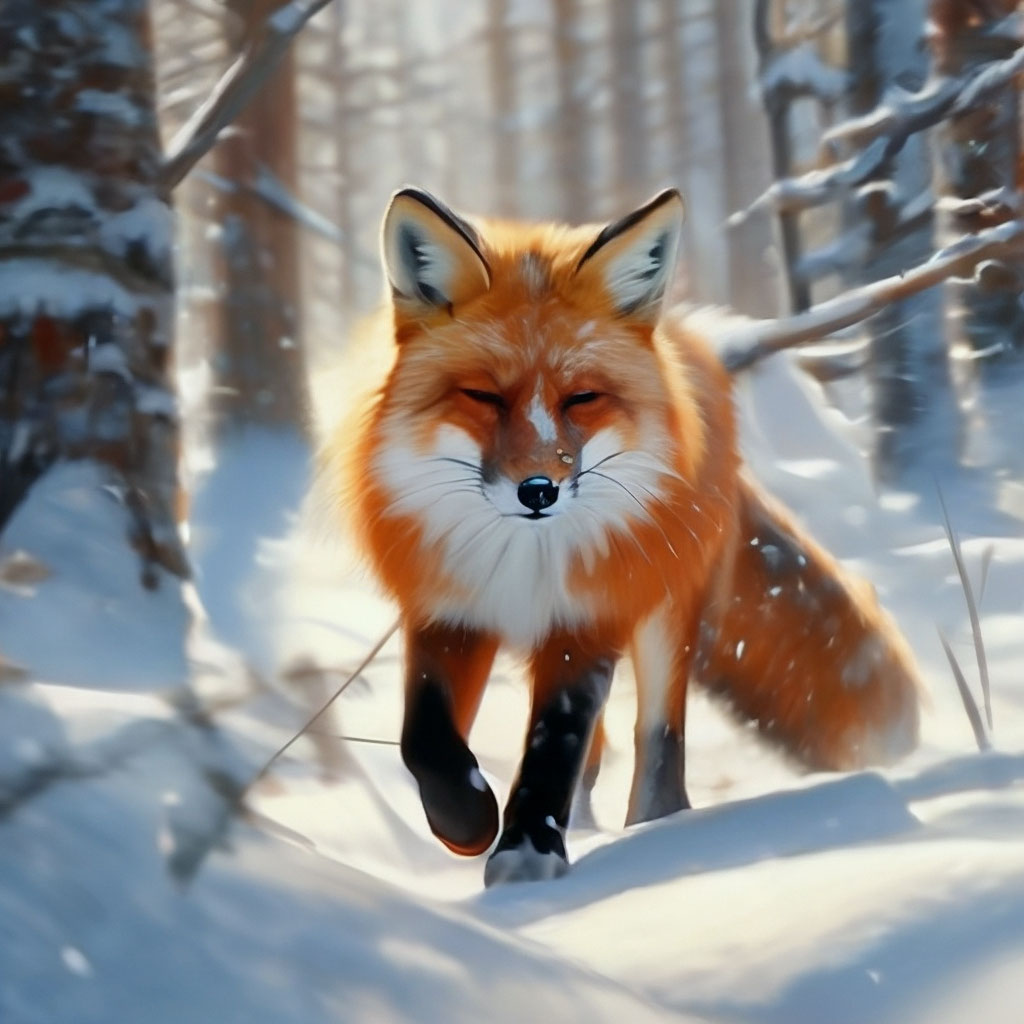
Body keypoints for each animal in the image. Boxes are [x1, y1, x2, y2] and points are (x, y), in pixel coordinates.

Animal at [333, 186, 922, 886]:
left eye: (582, 398)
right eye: (483, 396)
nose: (539, 491)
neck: (523, 561)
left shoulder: (590, 617)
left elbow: (555, 745)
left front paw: (527, 851)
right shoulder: (448, 610)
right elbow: (423, 740)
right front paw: (468, 822)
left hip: (665, 616)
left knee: (658, 746)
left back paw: (654, 835)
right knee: (600, 754)